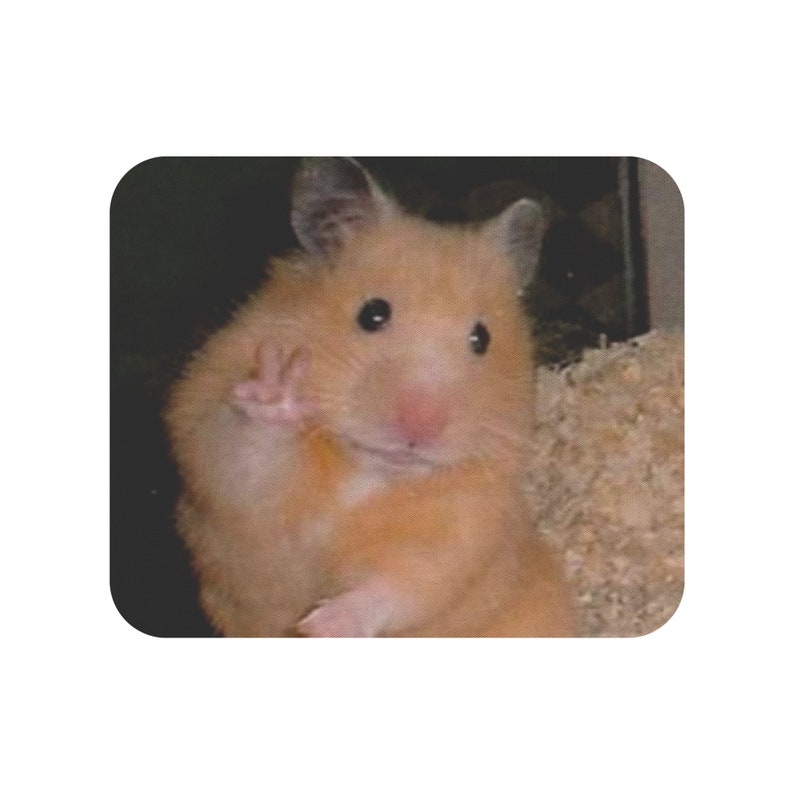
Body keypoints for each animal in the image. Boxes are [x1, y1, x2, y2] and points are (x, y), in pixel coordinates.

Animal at [165, 157, 575, 637]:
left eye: (482, 339)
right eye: (372, 314)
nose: (420, 428)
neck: (368, 471)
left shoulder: (462, 530)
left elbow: (401, 585)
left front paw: (319, 627)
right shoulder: (219, 465)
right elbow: (247, 458)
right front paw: (279, 386)